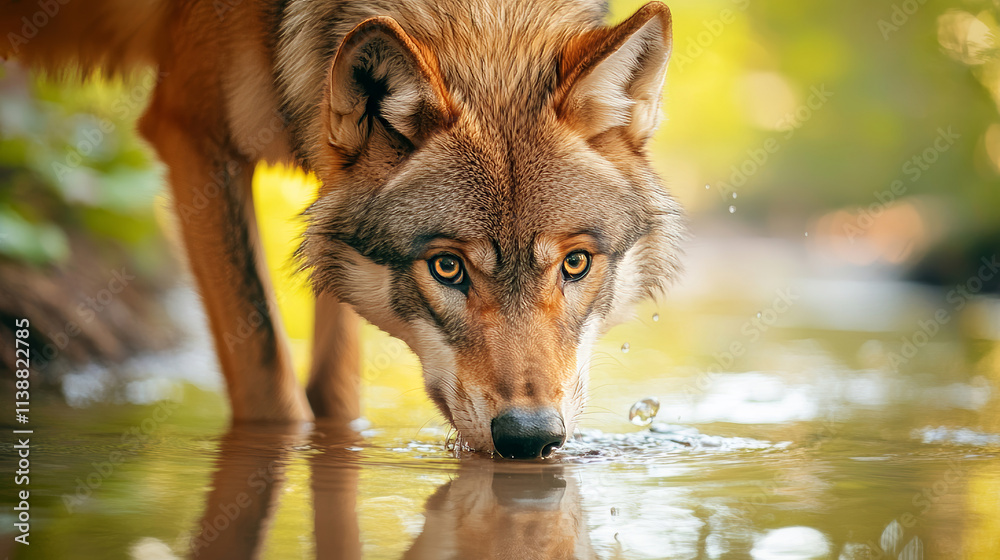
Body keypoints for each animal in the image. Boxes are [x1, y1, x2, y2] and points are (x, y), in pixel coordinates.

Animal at [2, 0, 683, 458]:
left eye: (575, 264)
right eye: (447, 267)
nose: (529, 438)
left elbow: (334, 389)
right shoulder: (193, 136)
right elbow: (272, 390)